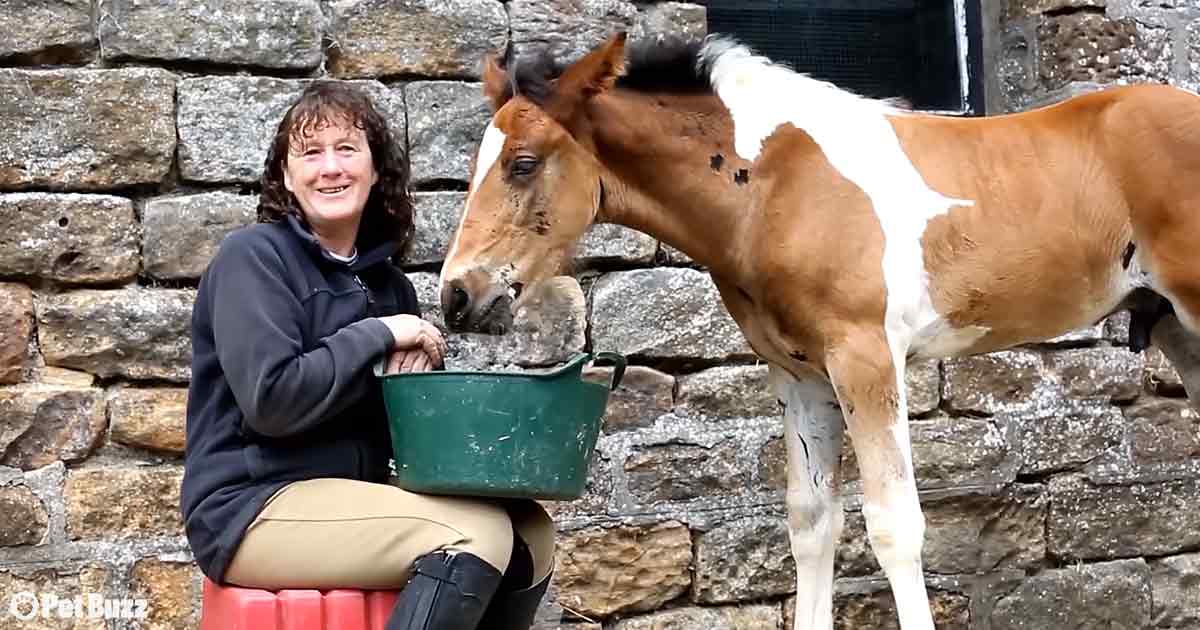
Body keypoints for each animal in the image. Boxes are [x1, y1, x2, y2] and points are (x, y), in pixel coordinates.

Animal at [435, 31, 1200, 629]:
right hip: (1178, 330)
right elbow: (811, 523)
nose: (457, 296)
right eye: (473, 166)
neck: (778, 185)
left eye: (523, 164)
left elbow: (895, 526)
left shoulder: (867, 359)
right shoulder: (800, 375)